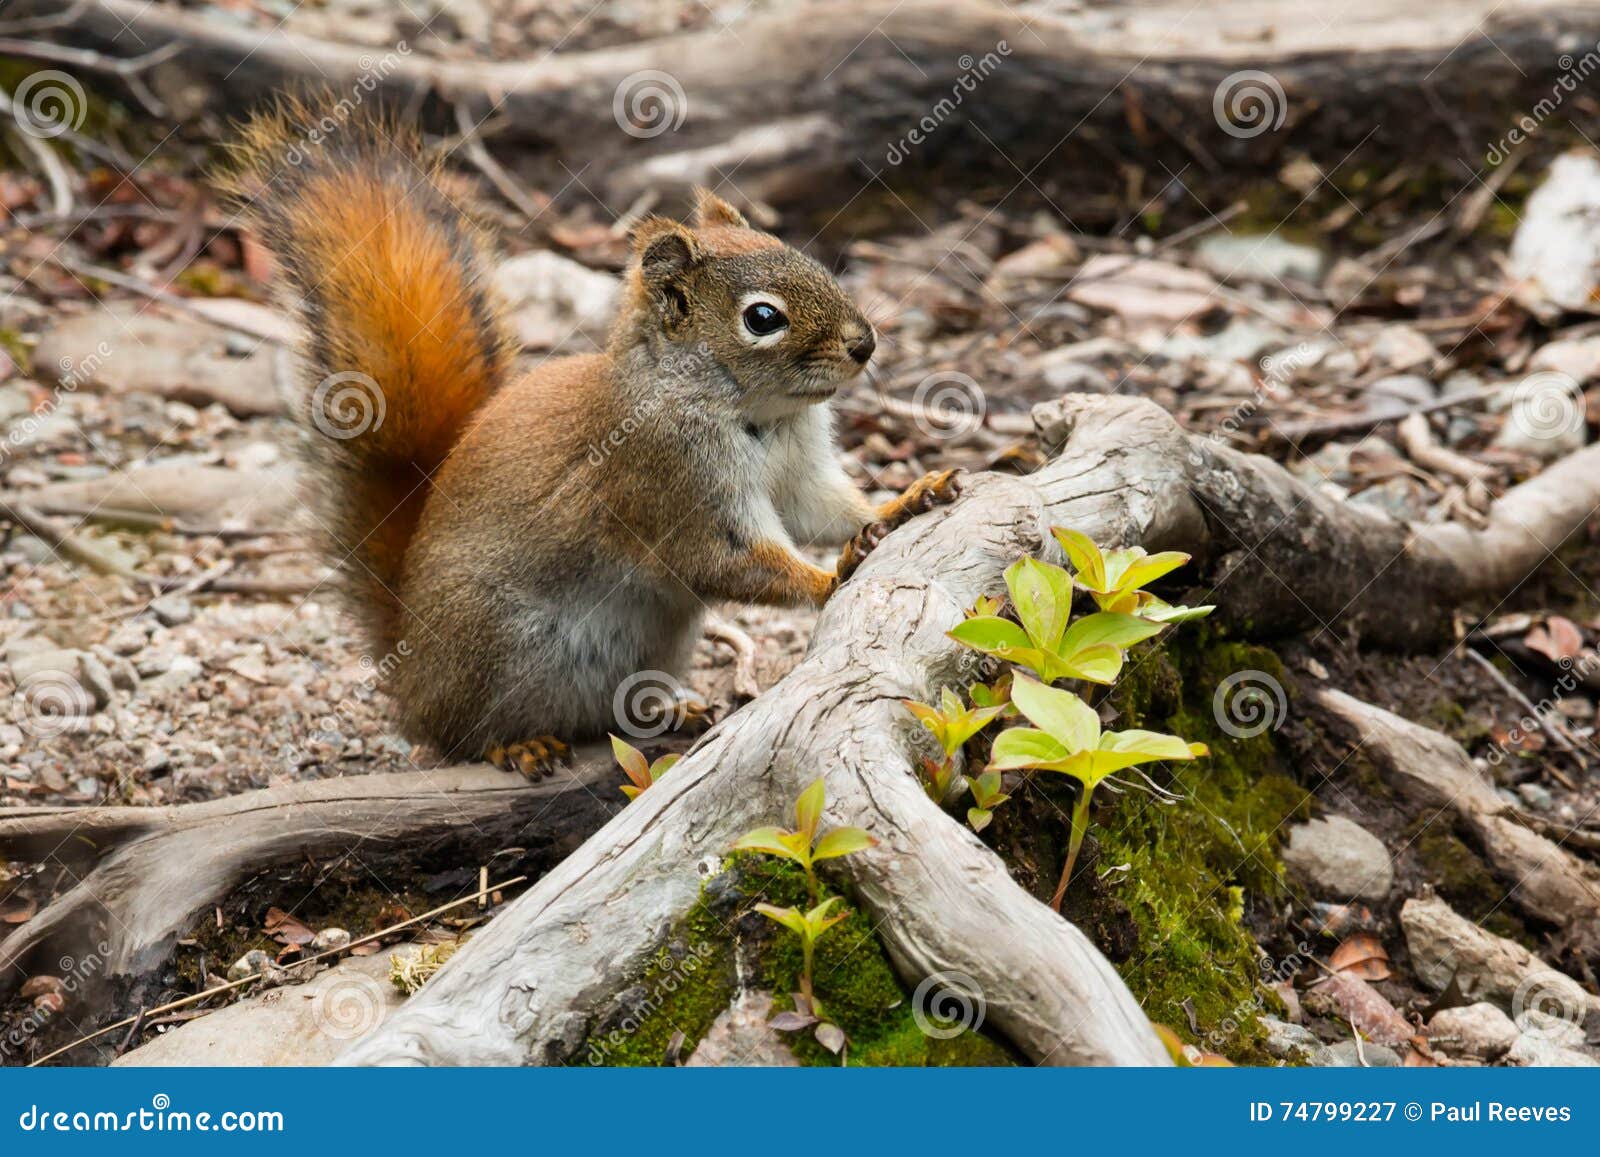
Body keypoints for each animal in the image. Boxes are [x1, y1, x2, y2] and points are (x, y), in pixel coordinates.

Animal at [220, 101, 961, 775]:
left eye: (809, 259)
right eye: (762, 318)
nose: (864, 344)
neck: (762, 415)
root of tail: (408, 677)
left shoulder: (801, 472)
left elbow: (828, 510)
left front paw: (905, 501)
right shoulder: (666, 481)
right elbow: (728, 561)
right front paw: (830, 573)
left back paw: (672, 710)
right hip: (491, 645)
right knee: (462, 735)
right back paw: (517, 745)